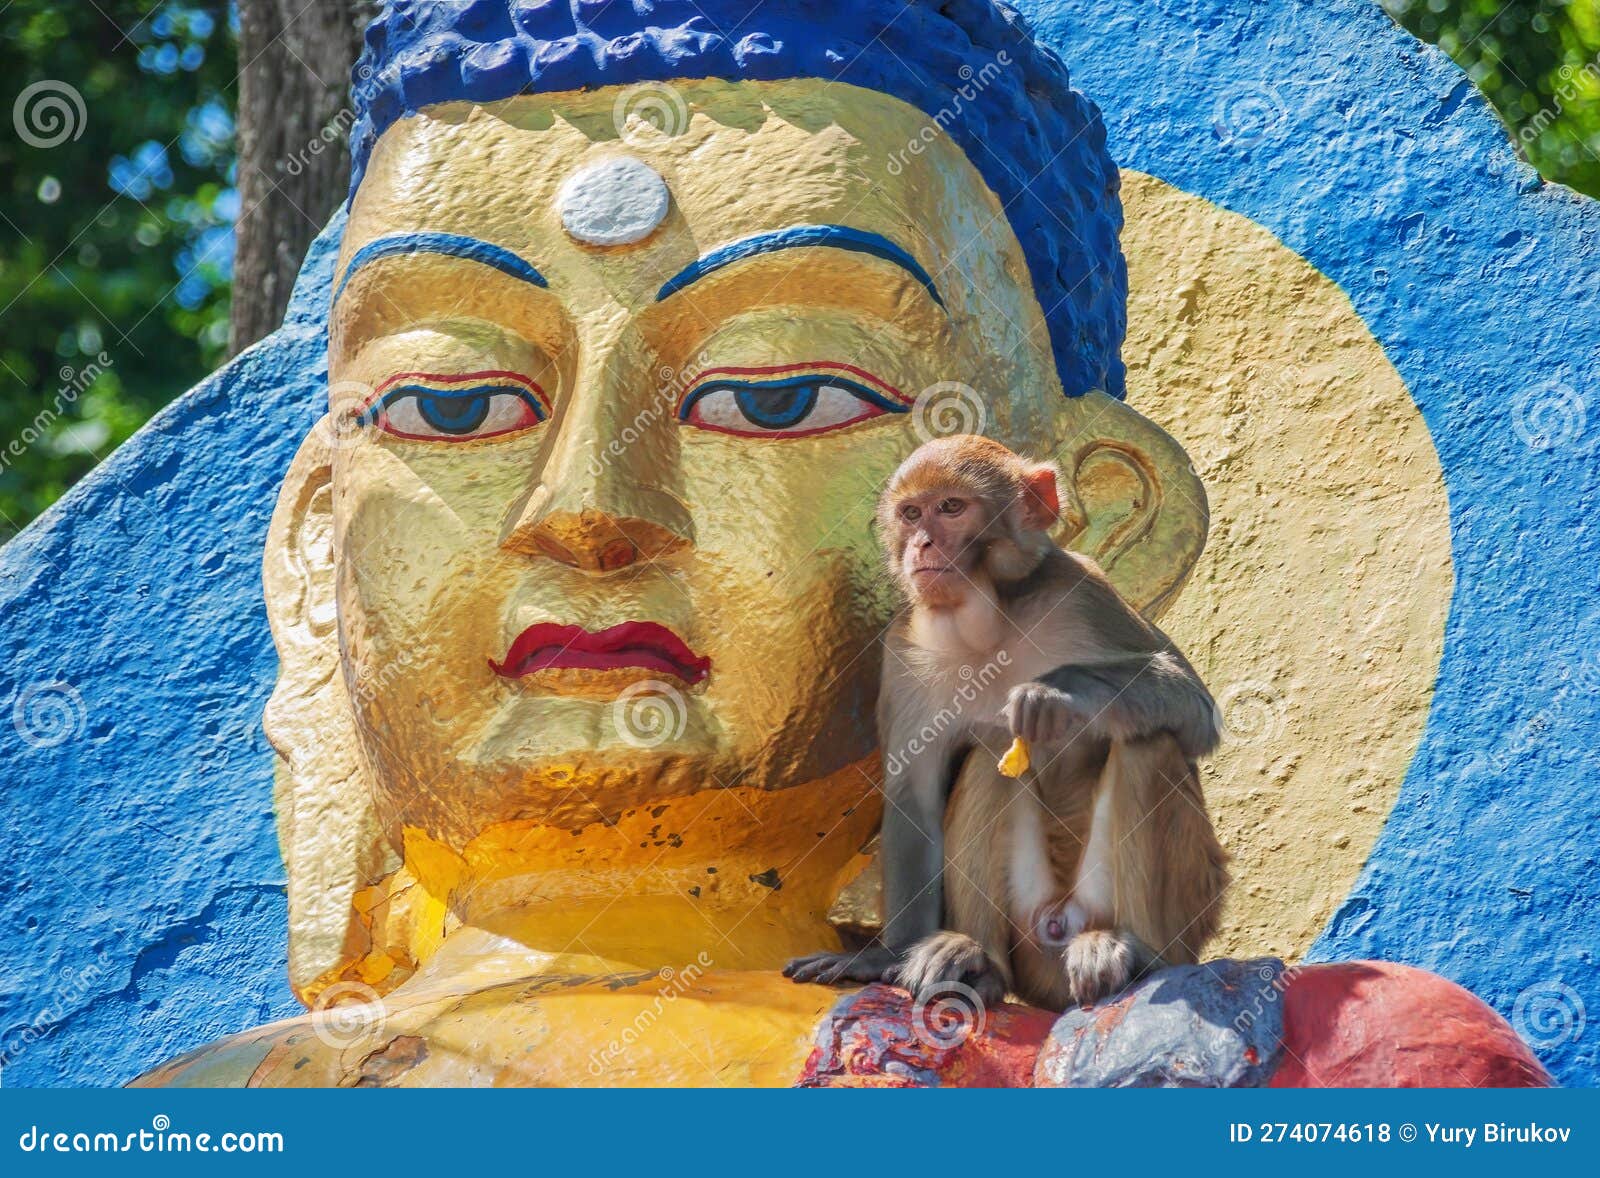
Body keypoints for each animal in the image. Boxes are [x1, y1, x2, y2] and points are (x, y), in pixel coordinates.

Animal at [784, 434, 1229, 1009]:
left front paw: (1059, 691)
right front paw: (881, 958)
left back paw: (1139, 956)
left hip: (1178, 906)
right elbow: (915, 798)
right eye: (911, 513)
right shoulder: (903, 654)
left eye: (951, 507)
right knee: (988, 755)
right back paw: (981, 965)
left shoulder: (1083, 591)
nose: (921, 544)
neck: (989, 622)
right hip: (1028, 938)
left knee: (1150, 745)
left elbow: (1196, 710)